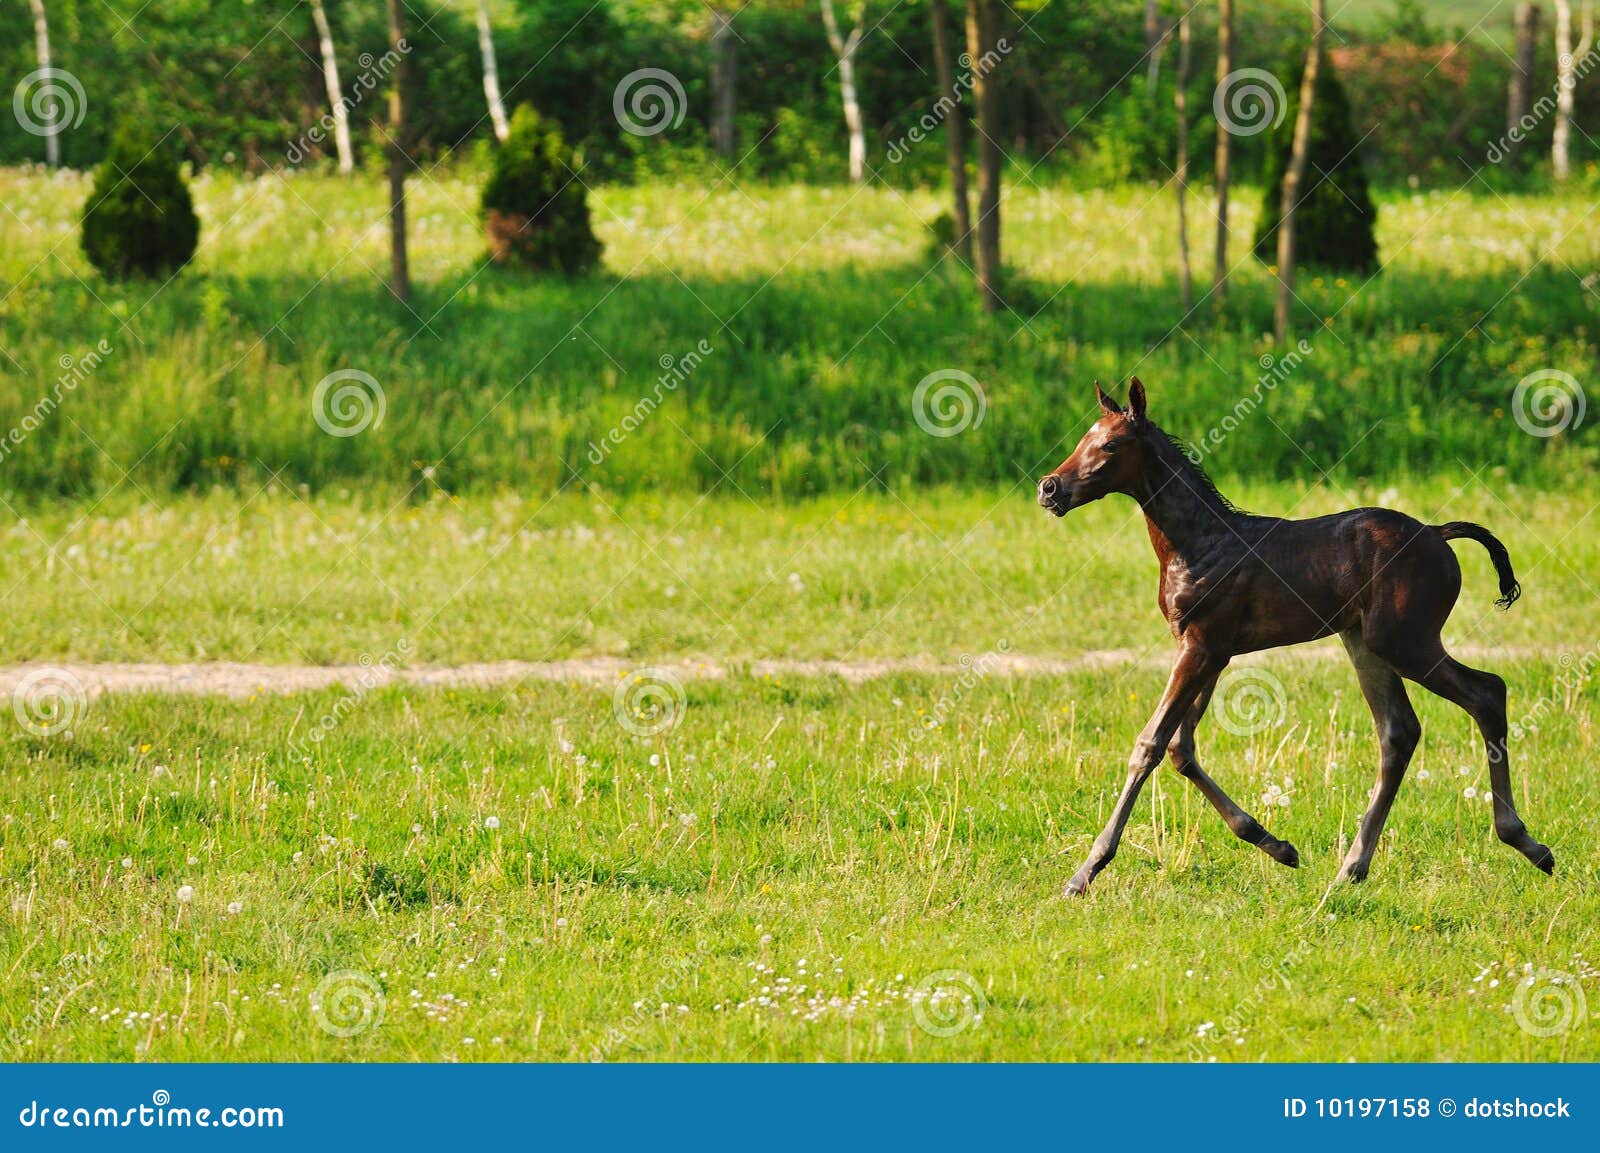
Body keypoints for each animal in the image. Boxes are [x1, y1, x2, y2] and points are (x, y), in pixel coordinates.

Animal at [1036, 379, 1554, 897]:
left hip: (1406, 641)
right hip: (1364, 642)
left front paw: (1086, 871)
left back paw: (1525, 842)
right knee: (1399, 732)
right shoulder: (1211, 651)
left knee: (1486, 693)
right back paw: (1352, 867)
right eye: (1083, 437)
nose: (1050, 487)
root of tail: (1436, 532)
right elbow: (1182, 749)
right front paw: (1276, 845)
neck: (1197, 543)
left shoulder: (1201, 647)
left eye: (1111, 444)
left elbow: (1150, 744)